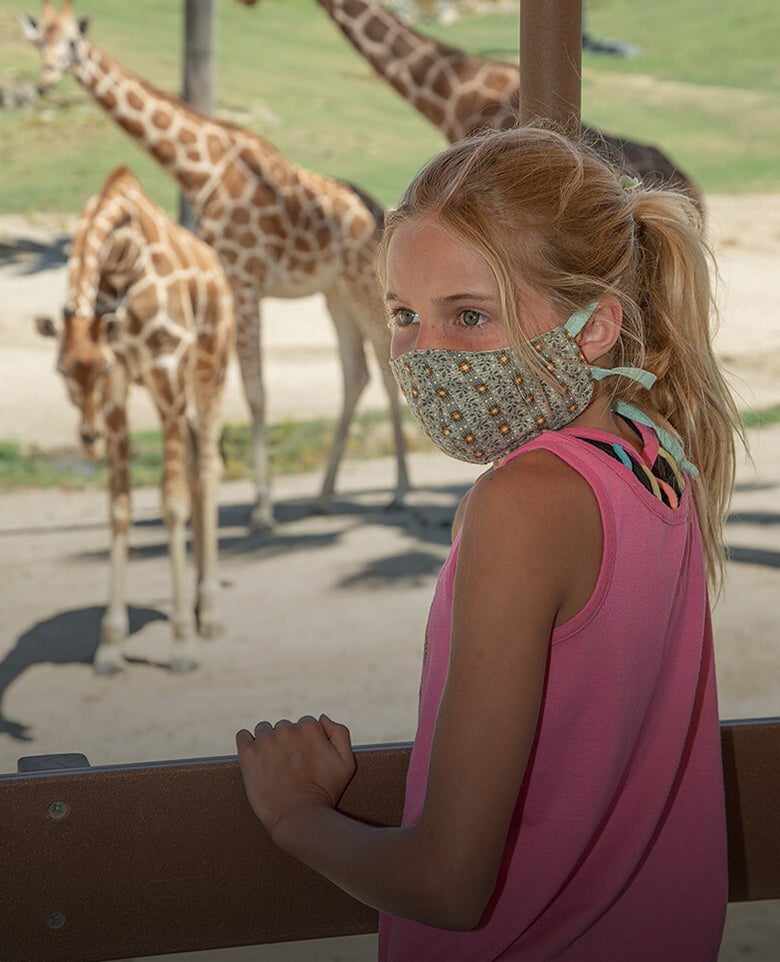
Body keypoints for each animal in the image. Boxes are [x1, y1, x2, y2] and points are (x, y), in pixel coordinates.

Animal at [22, 0, 410, 531]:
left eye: (73, 42)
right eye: (40, 39)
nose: (45, 78)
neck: (201, 171)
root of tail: (375, 210)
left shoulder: (244, 283)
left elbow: (256, 392)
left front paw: (261, 510)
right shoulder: (225, 286)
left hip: (360, 285)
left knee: (385, 369)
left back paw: (399, 492)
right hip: (333, 292)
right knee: (356, 374)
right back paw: (324, 495)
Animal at [36, 165, 234, 675]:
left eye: (99, 369)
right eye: (62, 370)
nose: (88, 439)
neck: (118, 258)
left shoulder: (165, 368)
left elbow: (171, 503)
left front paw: (181, 645)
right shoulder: (123, 389)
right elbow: (120, 508)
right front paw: (110, 645)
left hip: (209, 369)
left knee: (207, 467)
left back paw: (210, 613)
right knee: (195, 470)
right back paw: (200, 604)